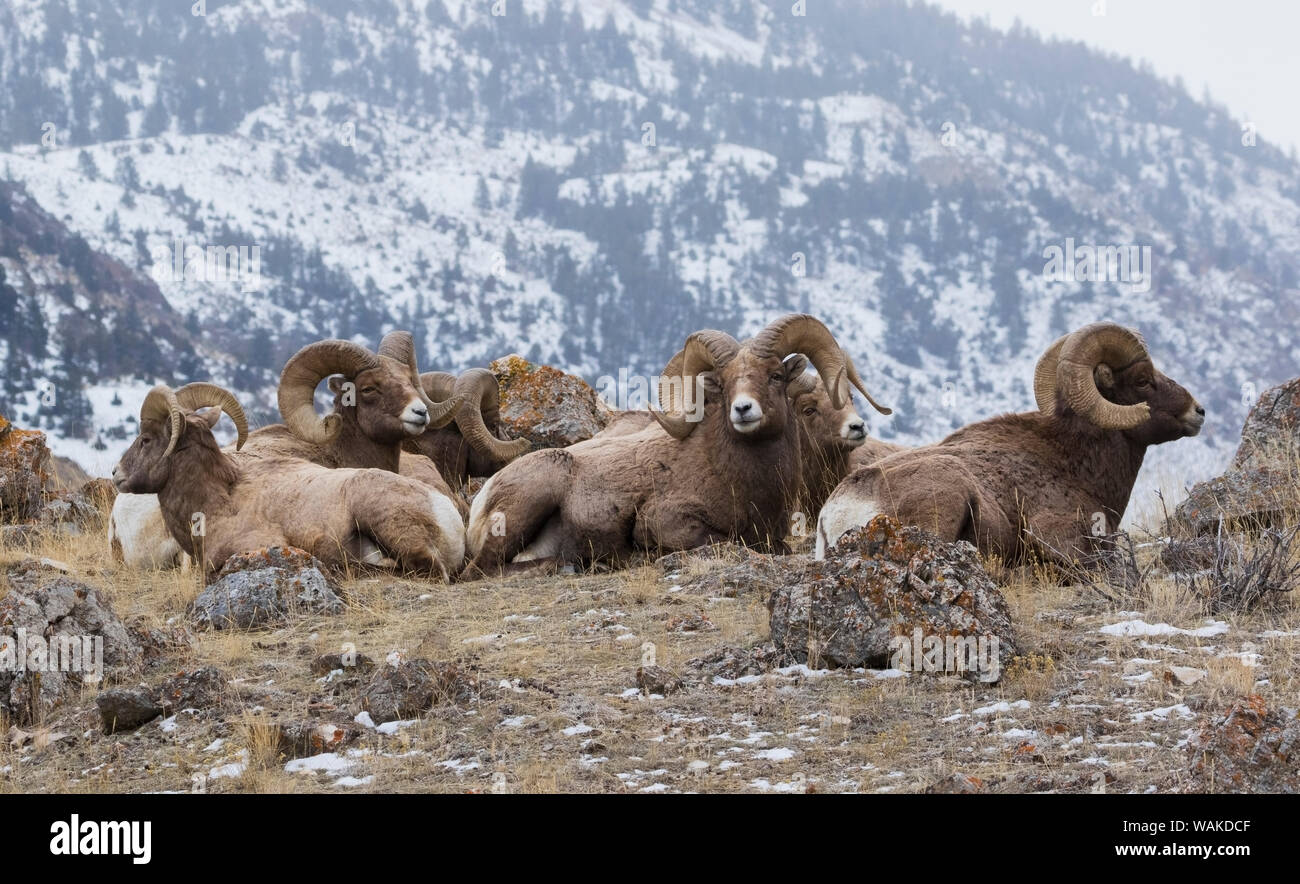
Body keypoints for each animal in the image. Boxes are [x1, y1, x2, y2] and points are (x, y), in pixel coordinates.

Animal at [465, 314, 889, 573]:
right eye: (723, 383)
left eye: (774, 376)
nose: (743, 409)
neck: (738, 479)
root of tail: (482, 499)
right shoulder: (668, 521)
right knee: (480, 571)